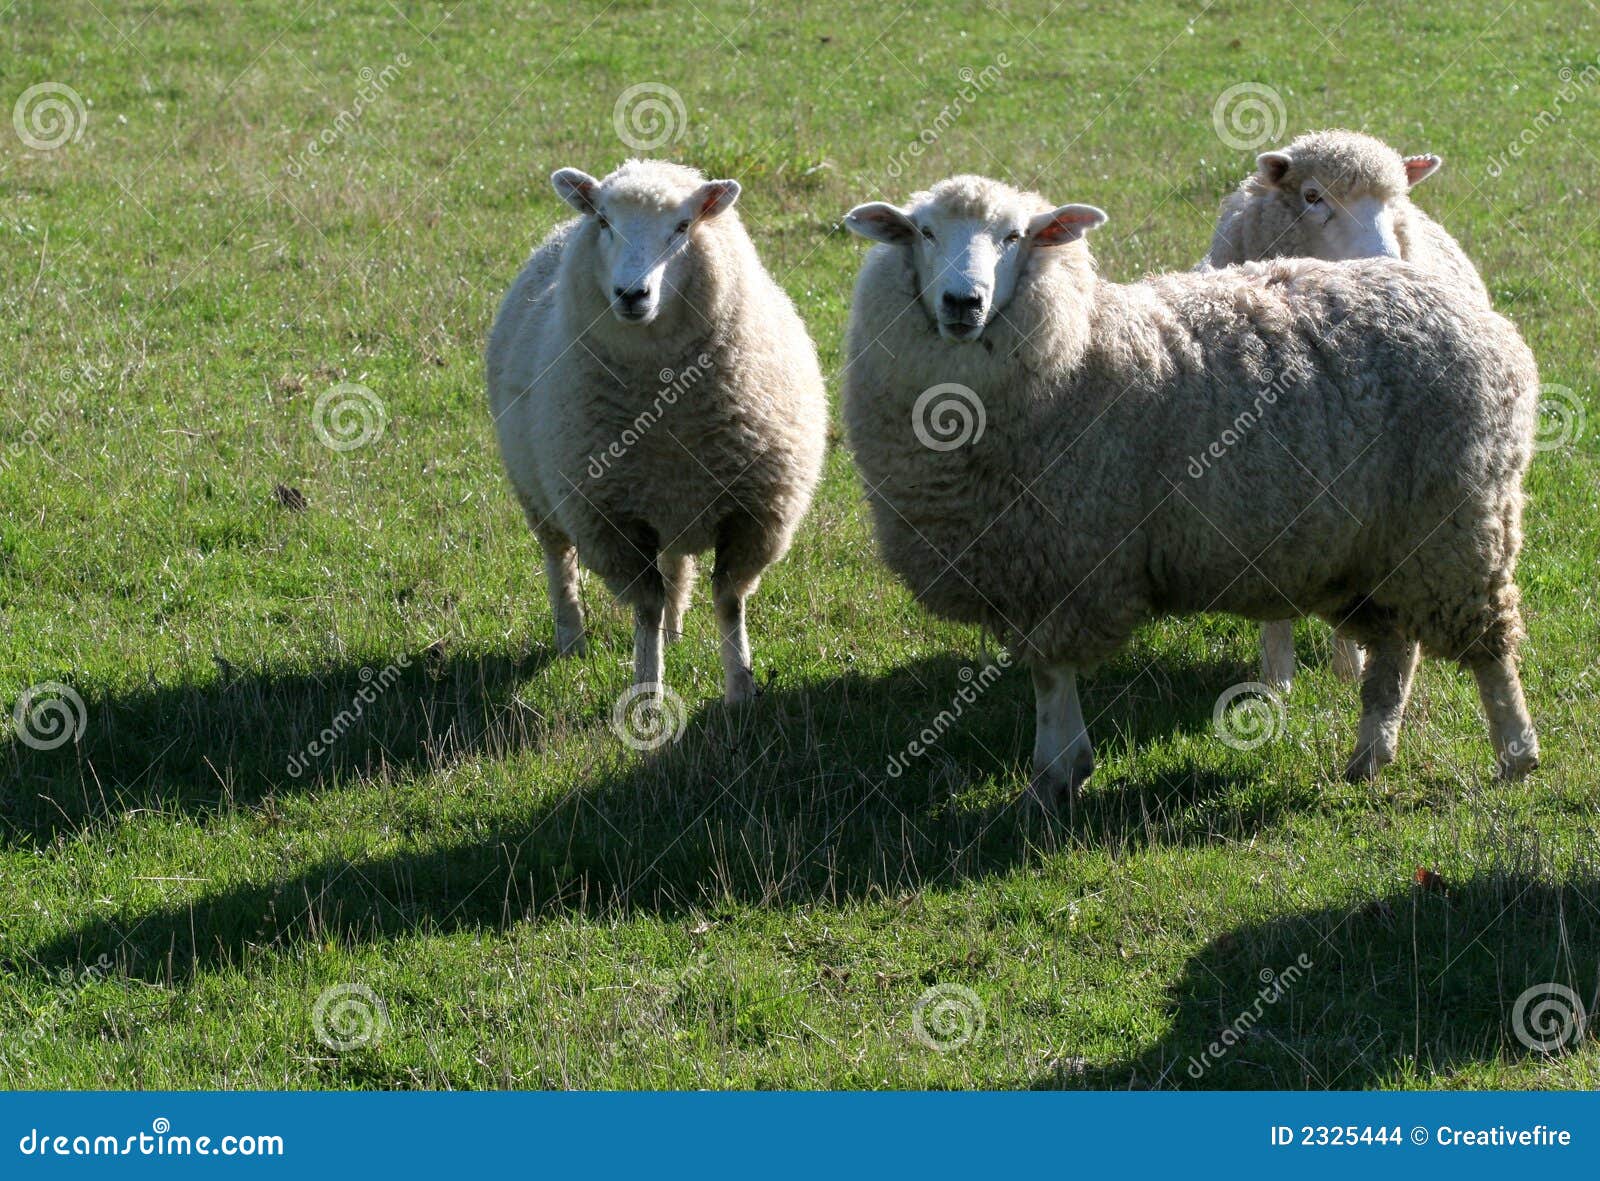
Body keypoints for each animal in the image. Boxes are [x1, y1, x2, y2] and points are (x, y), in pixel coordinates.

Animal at [487, 159, 827, 705]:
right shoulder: (612, 519)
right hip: (539, 492)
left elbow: (728, 601)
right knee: (559, 559)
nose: (632, 294)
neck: (667, 418)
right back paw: (571, 637)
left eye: (683, 226)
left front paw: (740, 689)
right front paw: (648, 692)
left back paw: (676, 631)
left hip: (670, 506)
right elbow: (644, 607)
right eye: (604, 221)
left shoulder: (754, 514)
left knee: (674, 568)